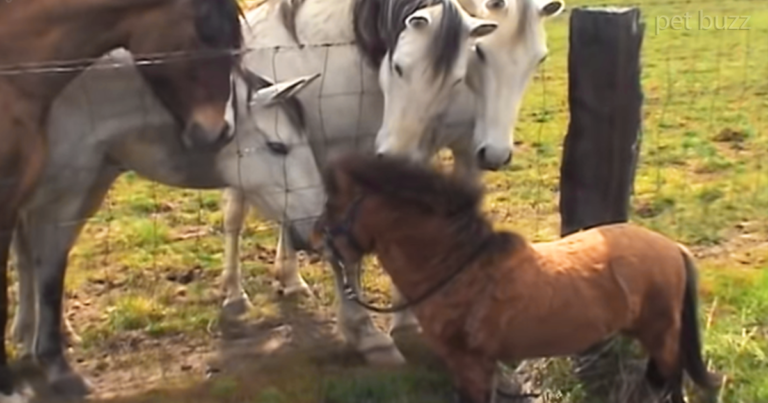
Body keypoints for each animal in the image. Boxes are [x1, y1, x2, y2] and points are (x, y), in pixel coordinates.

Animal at [220, 0, 564, 367]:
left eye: (538, 59)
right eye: (480, 53)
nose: (496, 154)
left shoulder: (442, 153)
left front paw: (409, 321)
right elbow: (340, 249)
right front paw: (366, 335)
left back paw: (290, 279)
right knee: (235, 216)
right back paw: (234, 297)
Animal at [315, 153, 722, 403]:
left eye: (334, 204)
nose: (319, 240)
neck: (459, 268)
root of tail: (674, 249)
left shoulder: (471, 364)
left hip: (661, 336)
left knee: (668, 381)